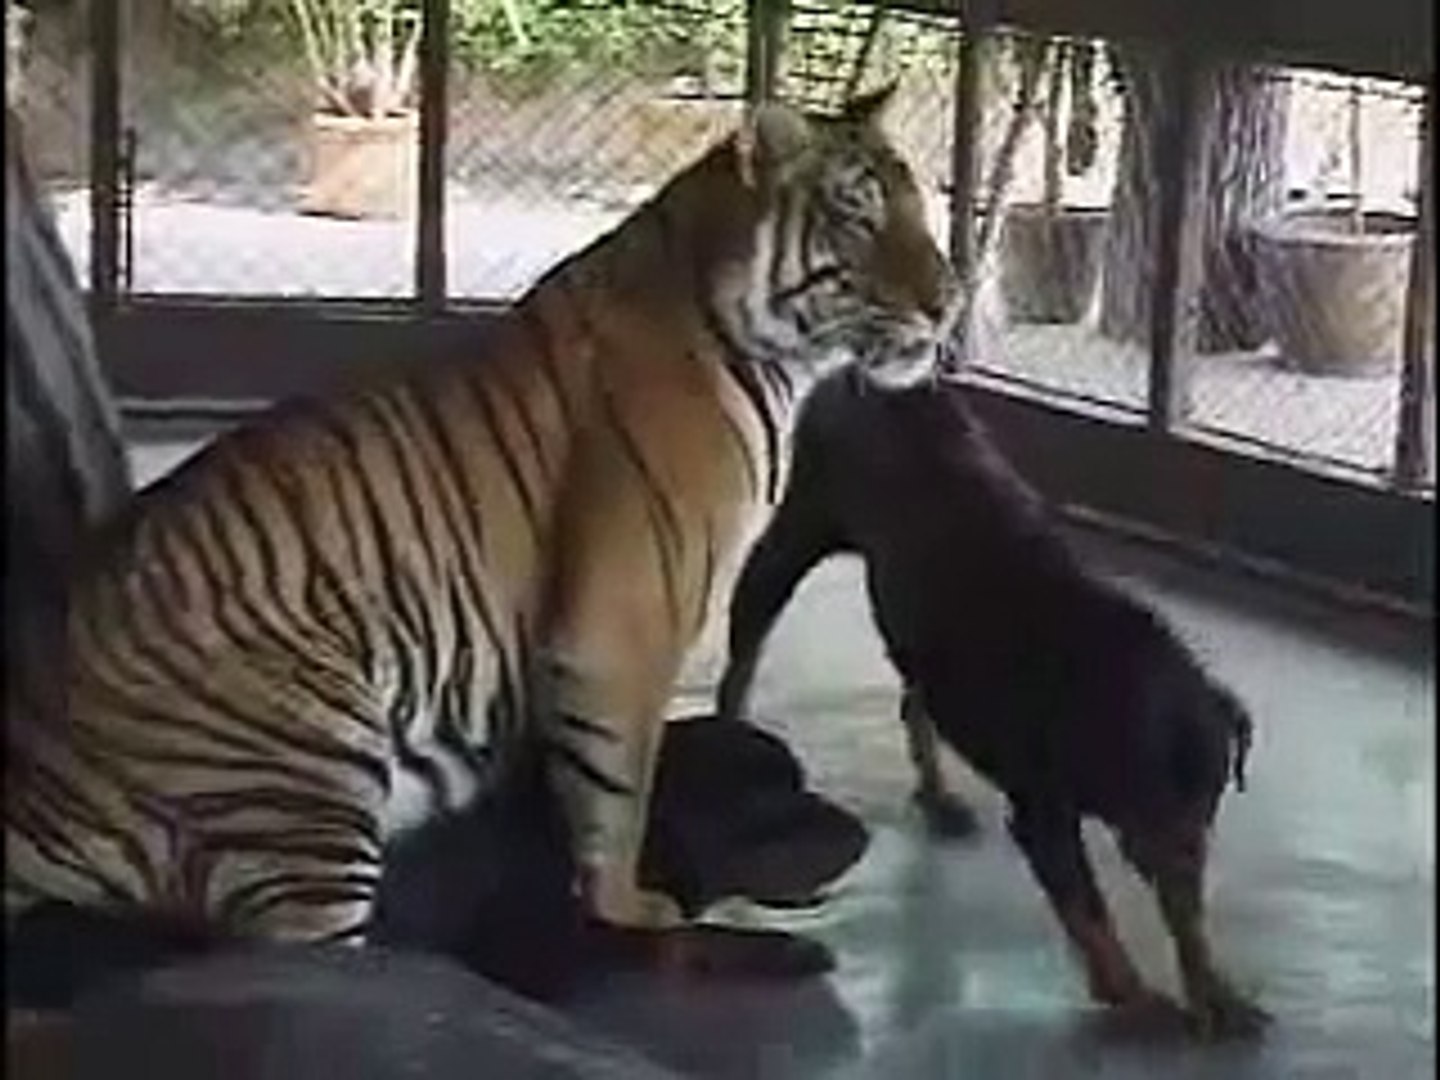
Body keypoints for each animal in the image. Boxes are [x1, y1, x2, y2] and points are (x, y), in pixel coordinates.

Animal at [8, 86, 956, 961]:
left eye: (921, 208)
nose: (948, 305)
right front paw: (627, 906)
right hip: (306, 777)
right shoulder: (626, 623)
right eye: (859, 214)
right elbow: (623, 782)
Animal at [714, 374, 1267, 1042]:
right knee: (744, 648)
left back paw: (937, 793)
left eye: (1214, 790)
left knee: (917, 699)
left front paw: (1214, 989)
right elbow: (1088, 906)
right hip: (796, 532)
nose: (1192, 856)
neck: (1105, 684)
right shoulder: (1045, 814)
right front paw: (1131, 994)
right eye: (1151, 785)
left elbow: (1182, 915)